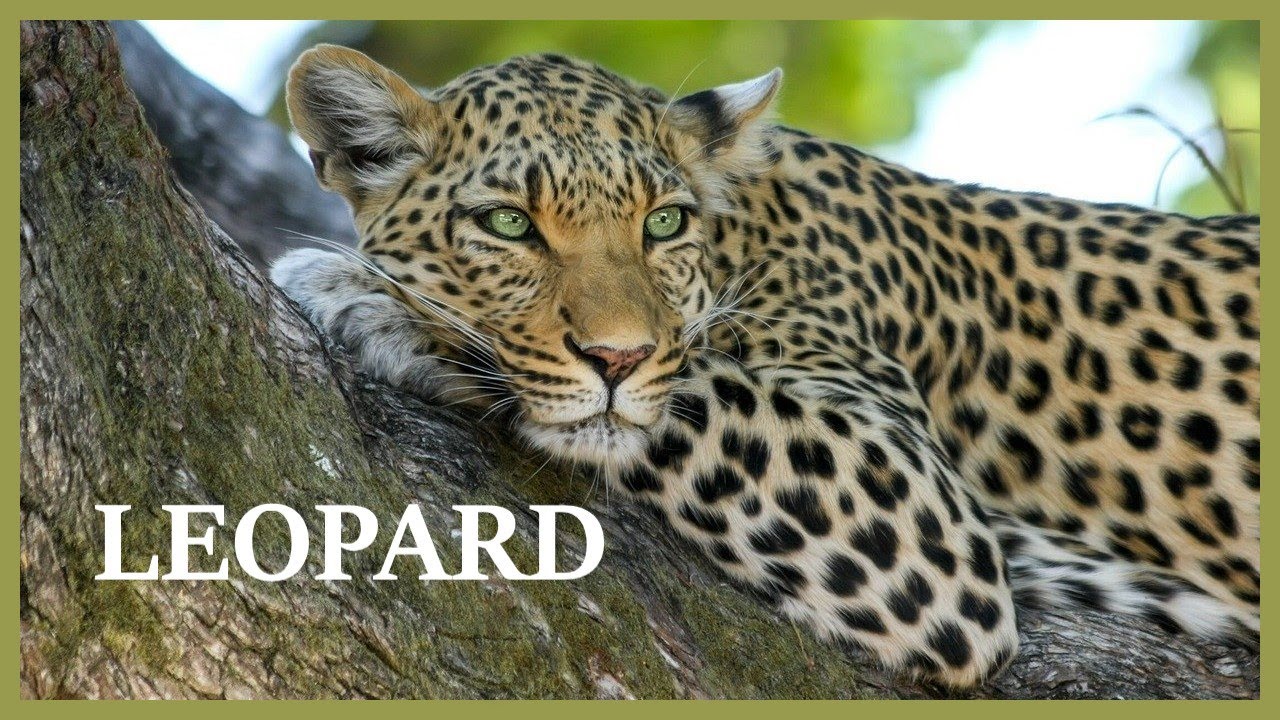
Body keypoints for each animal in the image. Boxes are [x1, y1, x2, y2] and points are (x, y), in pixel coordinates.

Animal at [270, 45, 1260, 687]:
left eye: (663, 222)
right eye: (509, 224)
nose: (618, 356)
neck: (748, 236)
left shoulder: (922, 513)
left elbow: (687, 392)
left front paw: (373, 299)